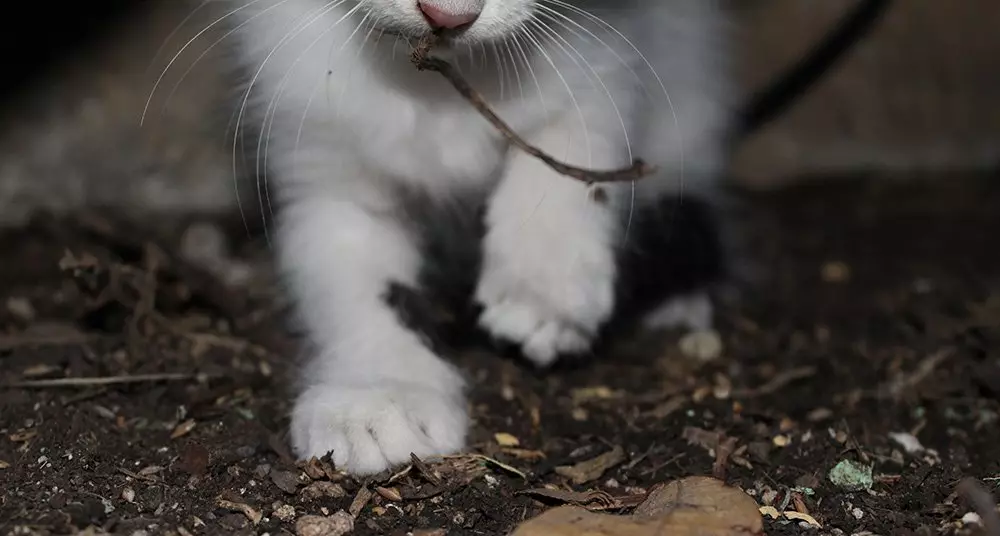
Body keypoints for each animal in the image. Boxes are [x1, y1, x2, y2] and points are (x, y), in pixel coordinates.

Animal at [227, 0, 736, 474]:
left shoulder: (623, 43)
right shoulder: (318, 153)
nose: (446, 16)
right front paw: (376, 395)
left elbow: (582, 128)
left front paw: (543, 288)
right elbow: (348, 276)